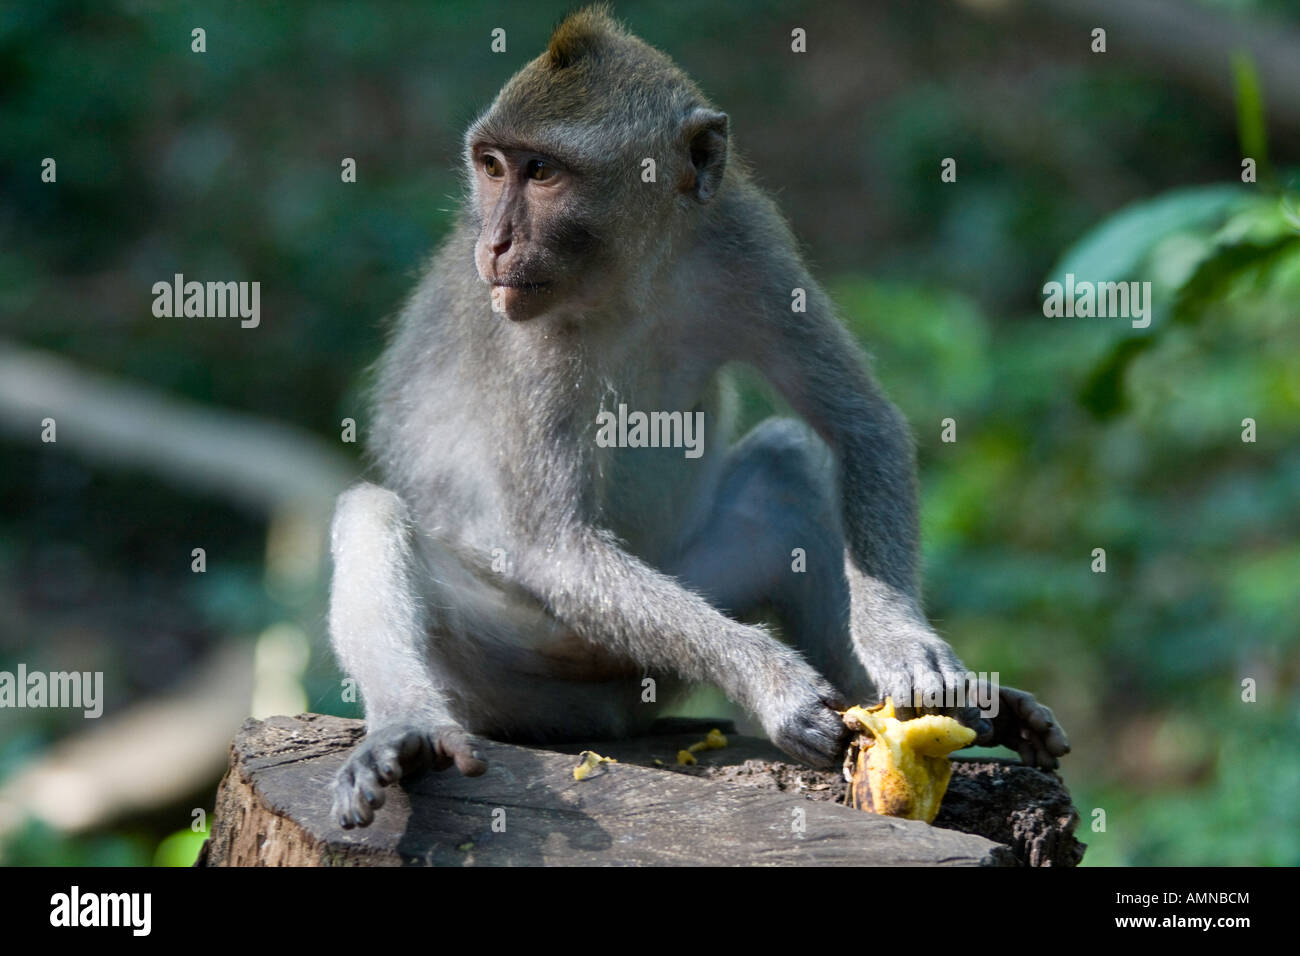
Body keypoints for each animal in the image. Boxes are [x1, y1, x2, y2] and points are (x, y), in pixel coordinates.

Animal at [327, 6, 1069, 829]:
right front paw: (773, 682)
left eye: (541, 171)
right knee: (372, 515)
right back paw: (406, 727)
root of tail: (605, 709)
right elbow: (554, 547)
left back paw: (921, 698)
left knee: (785, 463)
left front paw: (903, 647)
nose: (494, 242)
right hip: (510, 664)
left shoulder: (745, 239)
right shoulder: (528, 335)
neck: (634, 274)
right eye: (491, 167)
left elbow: (859, 423)